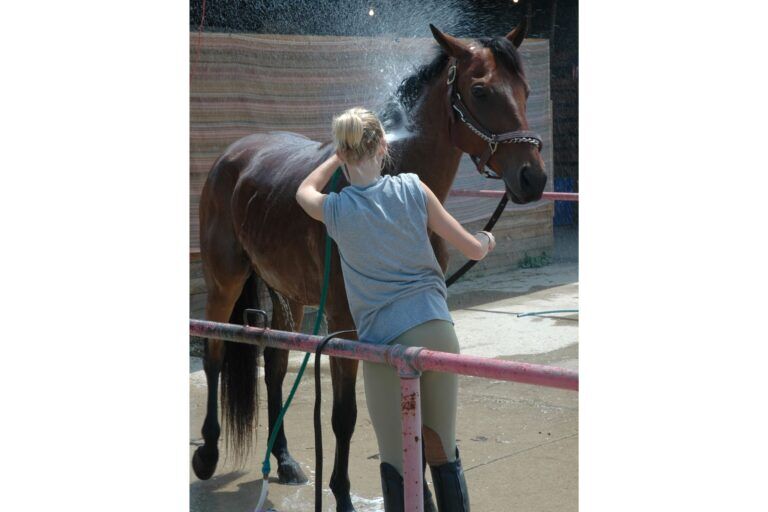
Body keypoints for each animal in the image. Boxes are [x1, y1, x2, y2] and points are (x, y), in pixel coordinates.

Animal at [192, 21, 547, 512]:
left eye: (525, 90)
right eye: (480, 91)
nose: (533, 178)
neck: (386, 181)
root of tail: (233, 154)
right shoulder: (345, 324)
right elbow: (344, 416)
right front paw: (341, 496)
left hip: (287, 295)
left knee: (276, 364)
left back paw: (285, 461)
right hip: (224, 282)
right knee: (214, 354)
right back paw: (207, 454)